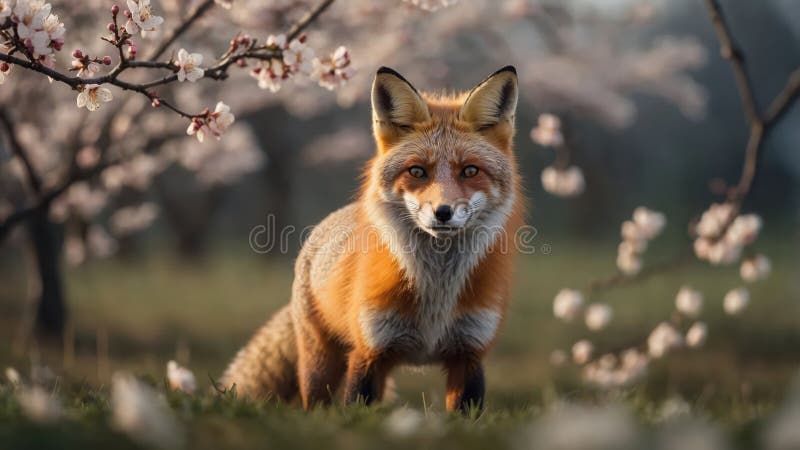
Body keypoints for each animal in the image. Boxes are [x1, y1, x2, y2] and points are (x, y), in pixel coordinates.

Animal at [221, 65, 524, 413]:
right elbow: (354, 409)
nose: (443, 212)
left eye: (470, 171)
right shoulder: (369, 352)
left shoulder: (470, 354)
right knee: (315, 404)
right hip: (321, 362)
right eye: (417, 172)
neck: (436, 295)